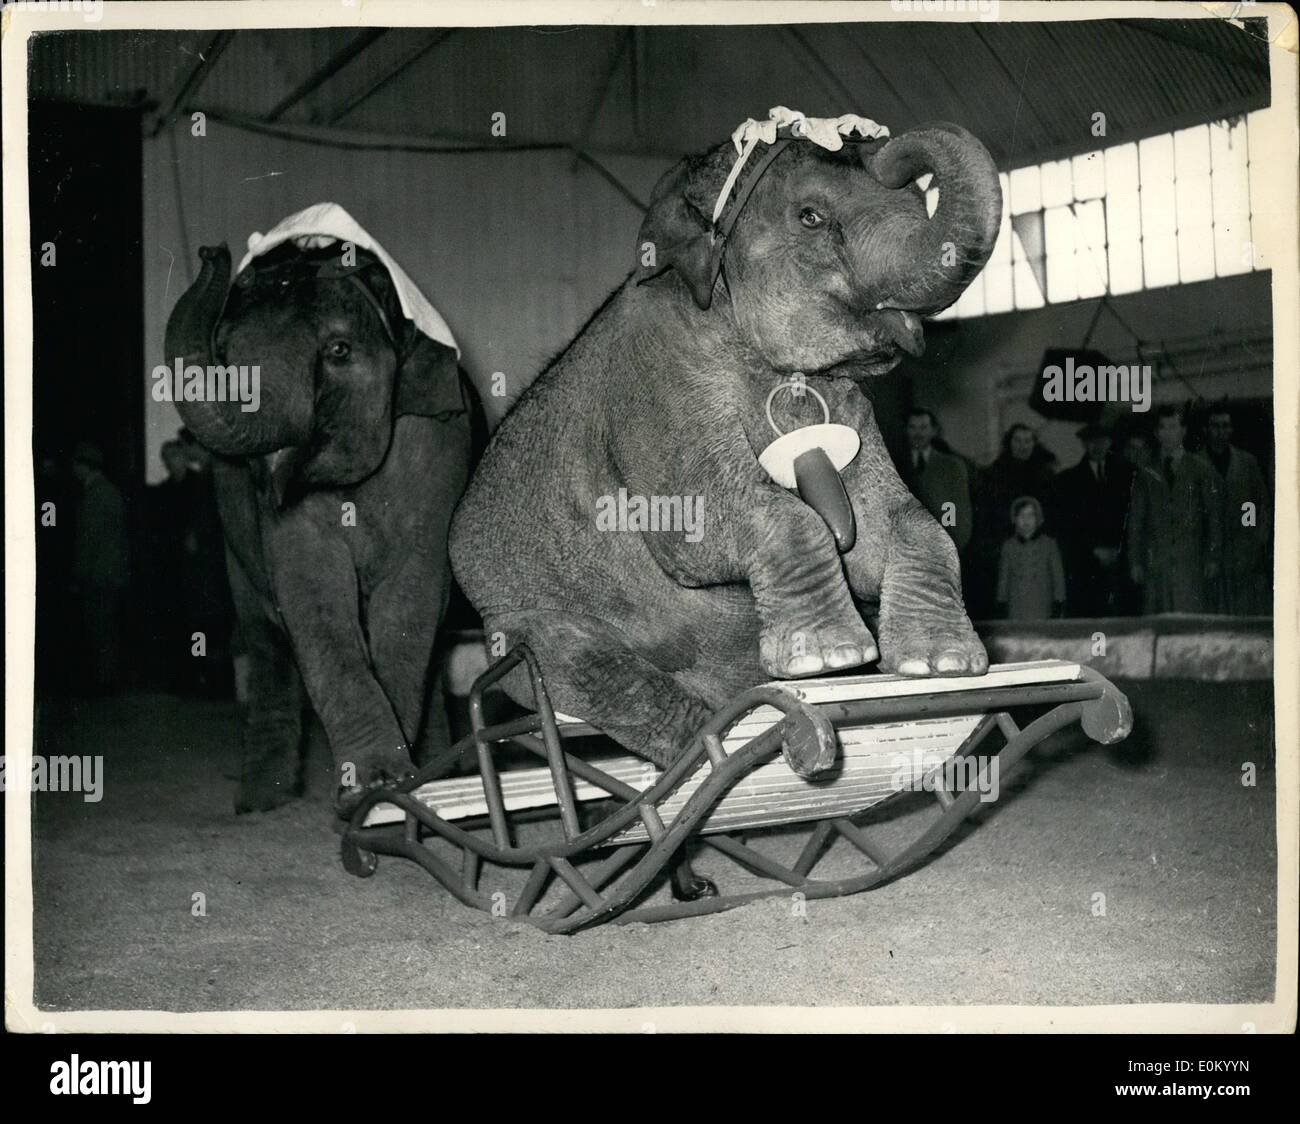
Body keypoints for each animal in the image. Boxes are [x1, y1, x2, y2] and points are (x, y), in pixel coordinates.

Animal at [165, 212, 481, 814]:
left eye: (337, 350)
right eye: (225, 353)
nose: (212, 251)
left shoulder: (440, 449)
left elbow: (411, 597)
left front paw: (392, 788)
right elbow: (313, 590)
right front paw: (375, 786)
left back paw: (437, 771)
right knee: (262, 635)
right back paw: (261, 801)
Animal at [451, 113, 1003, 775]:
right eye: (811, 216)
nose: (870, 138)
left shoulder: (849, 405)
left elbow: (893, 524)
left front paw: (944, 665)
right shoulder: (656, 381)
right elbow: (692, 529)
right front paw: (831, 658)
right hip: (521, 628)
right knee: (594, 670)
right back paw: (709, 754)